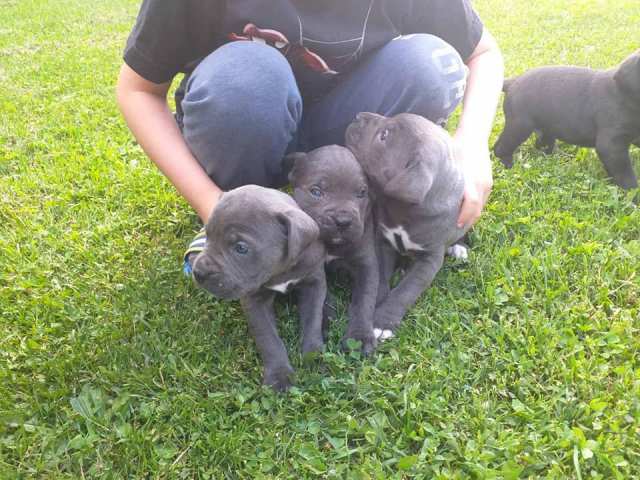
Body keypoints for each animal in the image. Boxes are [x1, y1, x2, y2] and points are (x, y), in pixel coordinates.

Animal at [192, 184, 328, 390]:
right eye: (207, 235)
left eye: (241, 248)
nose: (198, 272)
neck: (280, 272)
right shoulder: (254, 300)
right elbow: (268, 338)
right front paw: (279, 376)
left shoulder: (314, 283)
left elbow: (313, 319)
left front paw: (314, 357)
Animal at [286, 146, 380, 356]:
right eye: (316, 191)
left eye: (362, 193)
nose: (343, 221)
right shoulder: (312, 269)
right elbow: (322, 296)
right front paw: (326, 319)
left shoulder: (366, 264)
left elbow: (364, 299)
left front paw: (360, 337)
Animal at [344, 112, 464, 338]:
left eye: (384, 135)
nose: (357, 116)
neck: (403, 213)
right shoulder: (384, 241)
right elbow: (381, 274)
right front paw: (377, 299)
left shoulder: (430, 260)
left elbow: (407, 290)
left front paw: (383, 322)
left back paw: (460, 247)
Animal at [492, 49, 636, 189]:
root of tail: (513, 82)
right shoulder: (611, 145)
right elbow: (625, 173)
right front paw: (632, 191)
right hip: (519, 126)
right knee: (500, 147)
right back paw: (509, 165)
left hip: (544, 129)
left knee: (541, 145)